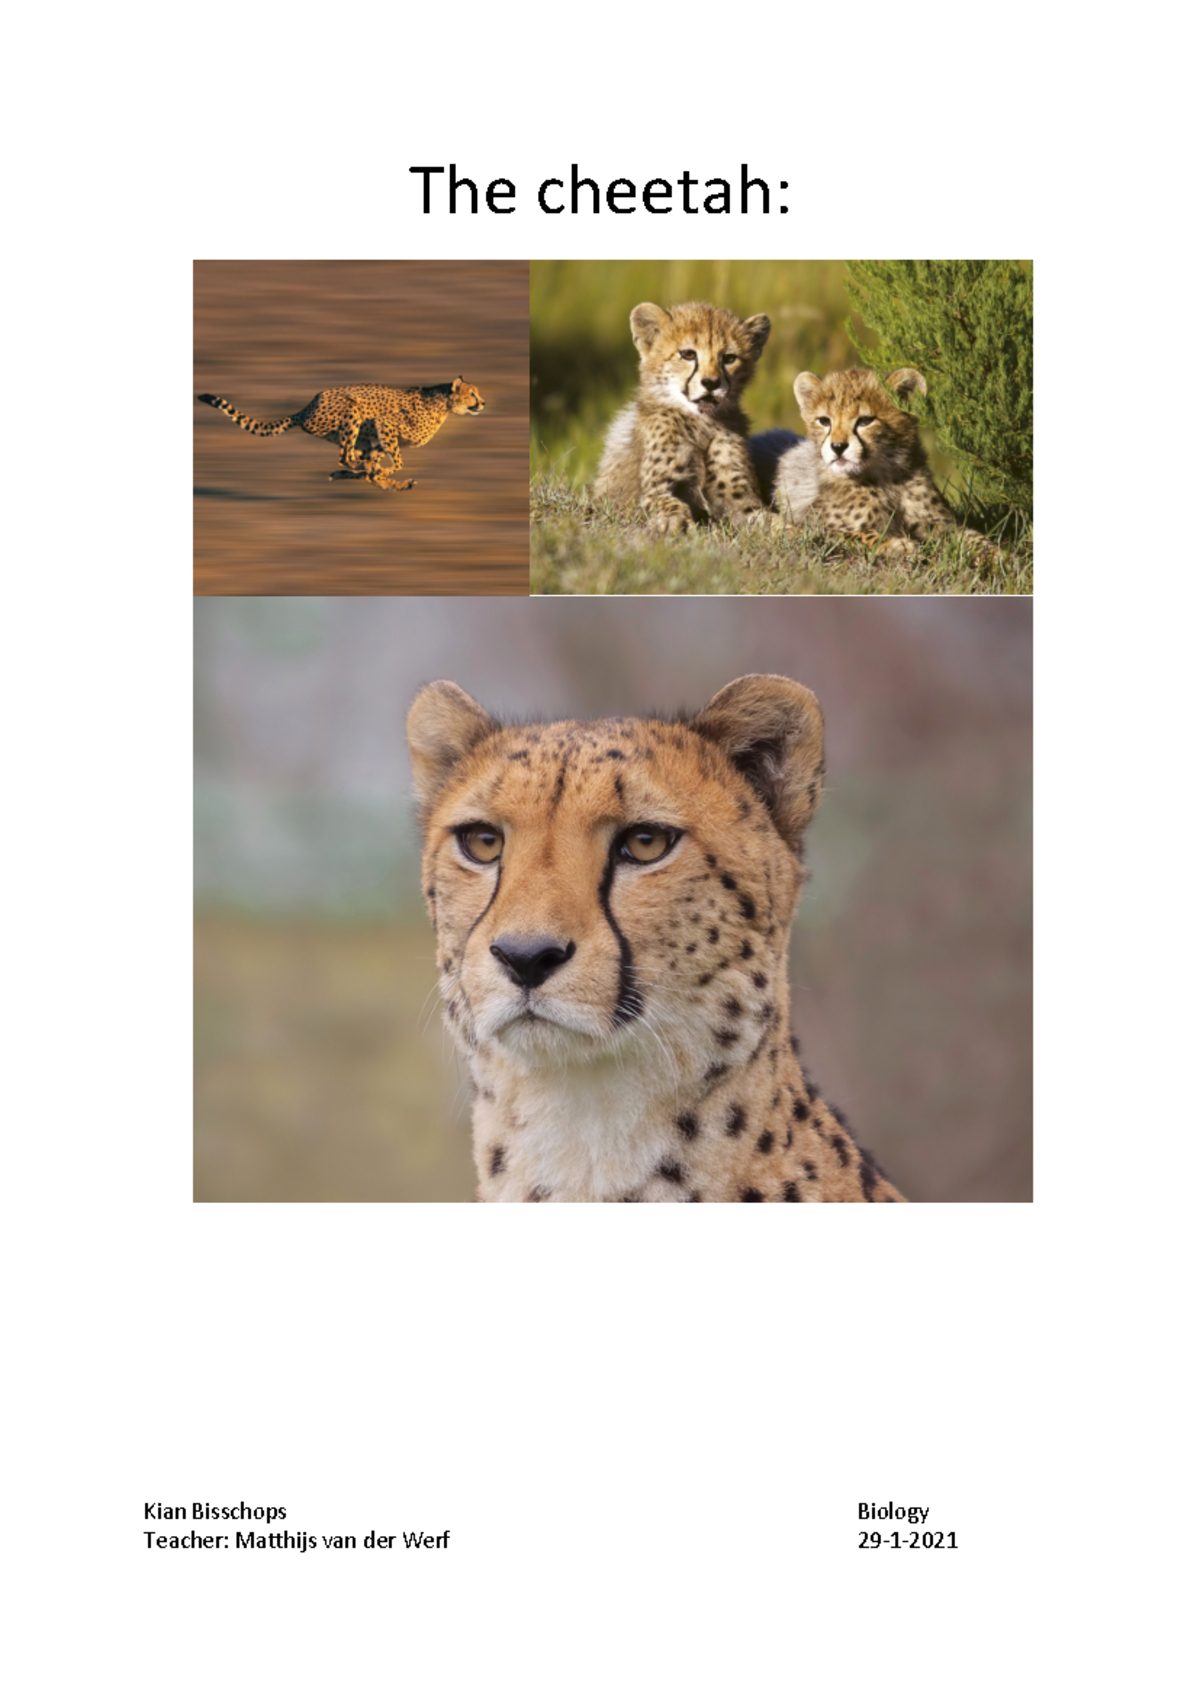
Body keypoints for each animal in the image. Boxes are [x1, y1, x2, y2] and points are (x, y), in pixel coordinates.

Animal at [195, 377, 485, 489]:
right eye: (472, 393)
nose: (483, 403)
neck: (444, 404)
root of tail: (308, 406)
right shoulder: (385, 424)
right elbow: (398, 461)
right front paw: (384, 472)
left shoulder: (377, 437)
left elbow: (380, 469)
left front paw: (384, 477)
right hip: (351, 411)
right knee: (346, 457)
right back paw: (364, 472)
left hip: (362, 435)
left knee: (352, 462)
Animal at [592, 302, 771, 534]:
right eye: (688, 354)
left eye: (729, 358)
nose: (711, 383)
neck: (701, 422)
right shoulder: (656, 489)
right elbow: (669, 503)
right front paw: (674, 523)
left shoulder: (739, 499)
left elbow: (769, 519)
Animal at [752, 368, 996, 556]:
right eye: (824, 421)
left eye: (865, 421)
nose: (837, 447)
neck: (885, 478)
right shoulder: (815, 530)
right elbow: (860, 533)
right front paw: (896, 544)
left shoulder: (939, 524)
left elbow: (971, 536)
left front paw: (996, 555)